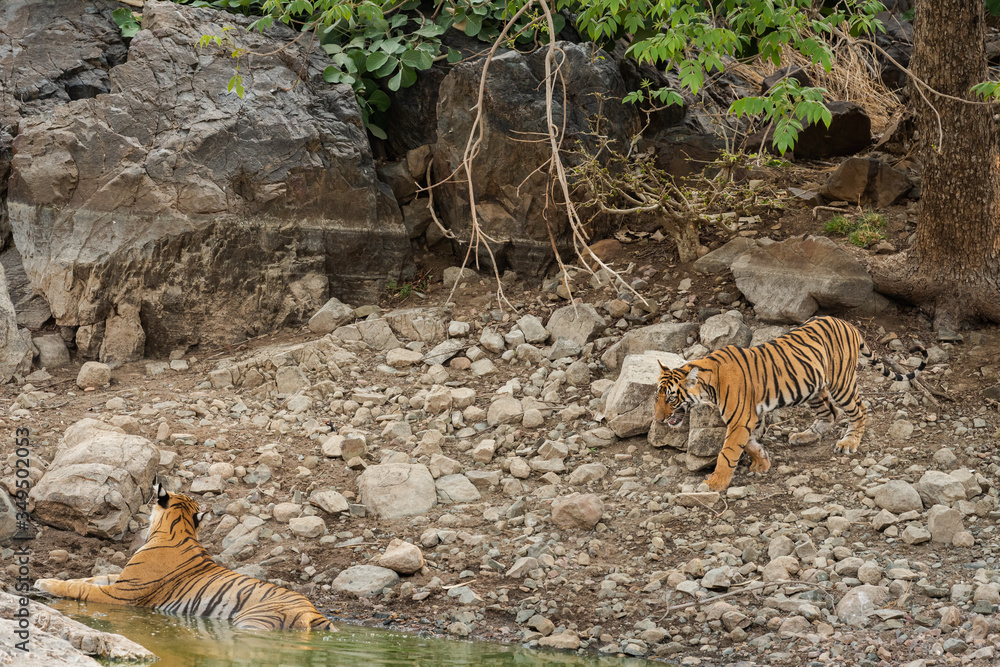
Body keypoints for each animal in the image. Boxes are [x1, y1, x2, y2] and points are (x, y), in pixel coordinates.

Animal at [35, 484, 336, 632]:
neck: (178, 528)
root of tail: (314, 612)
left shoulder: (121, 594)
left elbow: (82, 588)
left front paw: (45, 583)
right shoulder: (121, 580)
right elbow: (90, 577)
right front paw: (50, 578)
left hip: (253, 621)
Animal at [655, 316, 927, 492]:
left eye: (671, 398)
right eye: (657, 396)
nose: (658, 419)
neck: (708, 385)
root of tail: (849, 324)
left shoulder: (740, 420)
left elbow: (728, 452)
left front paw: (714, 483)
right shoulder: (751, 417)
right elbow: (751, 443)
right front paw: (762, 461)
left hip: (841, 383)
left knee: (859, 410)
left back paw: (849, 443)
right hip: (812, 388)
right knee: (830, 412)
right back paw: (804, 436)